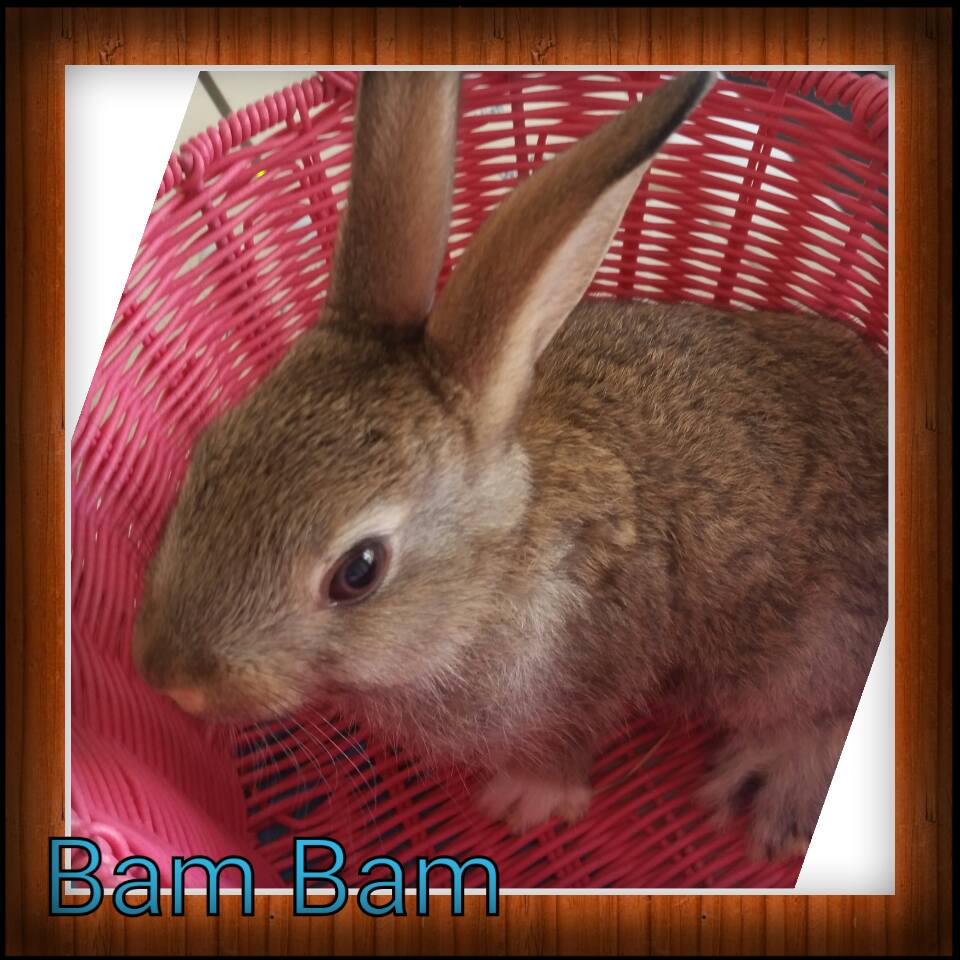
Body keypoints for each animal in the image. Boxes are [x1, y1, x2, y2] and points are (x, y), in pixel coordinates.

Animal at [132, 70, 888, 861]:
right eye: (209, 450)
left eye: (358, 572)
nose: (170, 678)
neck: (489, 584)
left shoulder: (586, 679)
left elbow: (568, 746)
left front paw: (523, 801)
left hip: (805, 656)